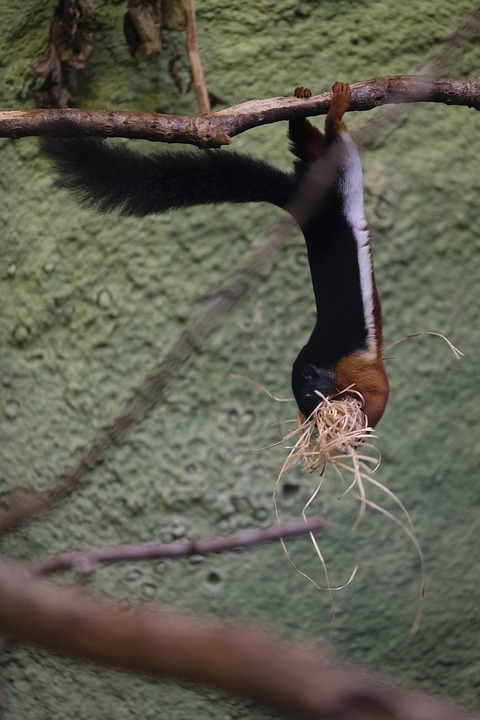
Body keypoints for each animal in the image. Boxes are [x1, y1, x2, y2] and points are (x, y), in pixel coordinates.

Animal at [43, 82, 389, 428]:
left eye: (310, 394)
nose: (313, 418)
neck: (322, 359)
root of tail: (301, 203)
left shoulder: (352, 367)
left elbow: (377, 395)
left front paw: (360, 421)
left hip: (336, 180)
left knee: (334, 142)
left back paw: (333, 107)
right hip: (320, 175)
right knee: (312, 146)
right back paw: (304, 106)